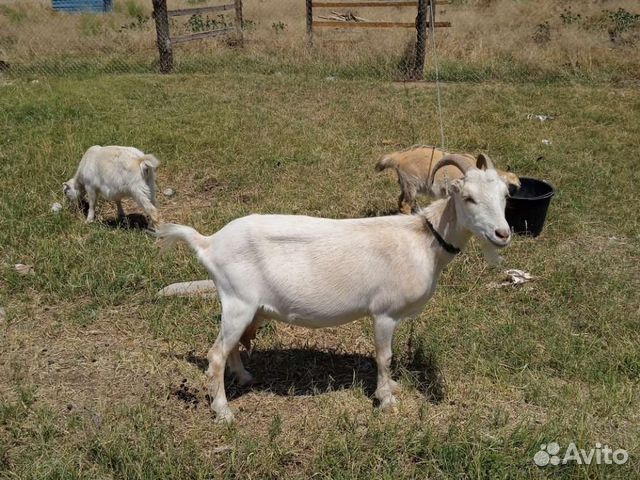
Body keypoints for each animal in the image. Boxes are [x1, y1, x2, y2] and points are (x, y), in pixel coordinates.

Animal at [156, 154, 512, 422]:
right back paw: (224, 413)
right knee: (215, 355)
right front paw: (386, 400)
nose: (502, 234)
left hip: (239, 306)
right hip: (238, 300)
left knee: (228, 347)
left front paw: (394, 388)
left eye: (505, 197)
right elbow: (384, 356)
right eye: (468, 198)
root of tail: (209, 242)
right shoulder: (383, 312)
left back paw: (243, 377)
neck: (423, 240)